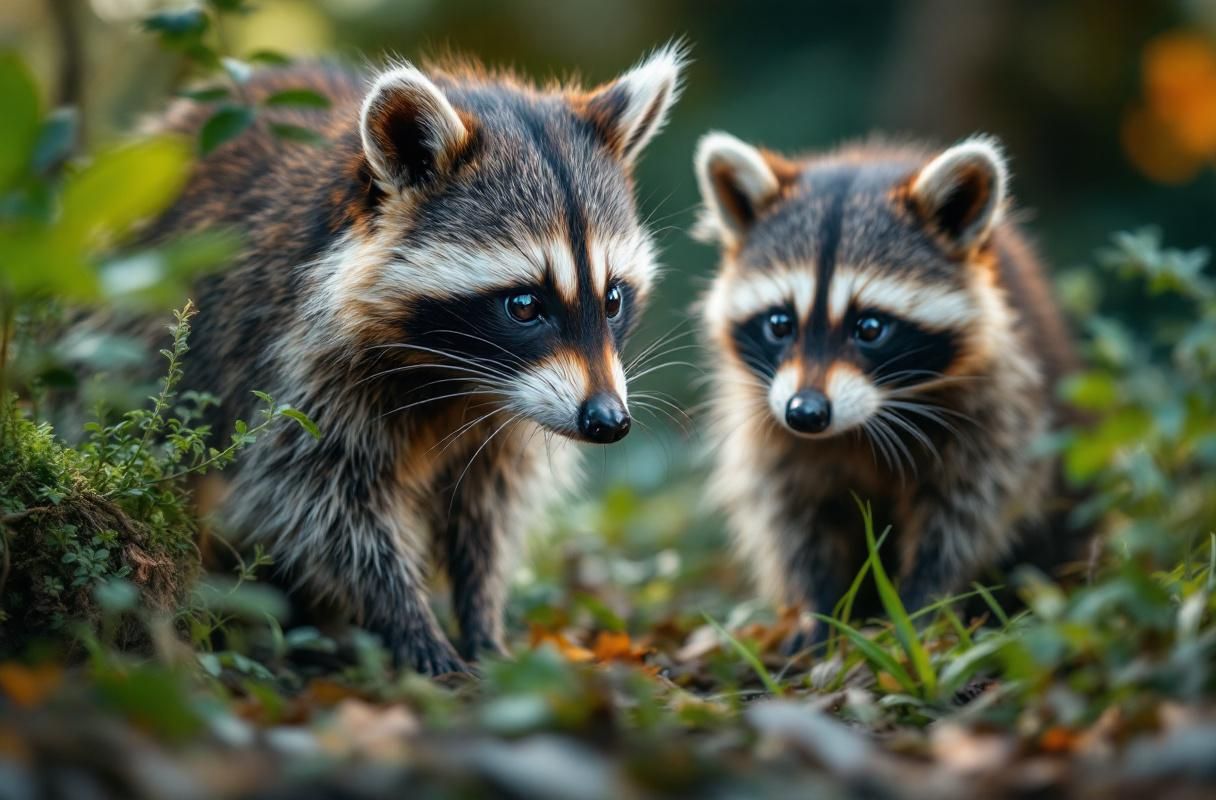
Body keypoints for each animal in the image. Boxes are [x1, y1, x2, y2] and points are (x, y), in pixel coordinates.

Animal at [132, 48, 685, 674]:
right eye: (524, 305)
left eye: (613, 298)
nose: (608, 421)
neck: (458, 377)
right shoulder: (289, 356)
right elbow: (318, 501)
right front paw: (409, 621)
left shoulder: (513, 416)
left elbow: (488, 513)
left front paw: (482, 613)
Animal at [693, 132, 1085, 647]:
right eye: (779, 323)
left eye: (870, 328)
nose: (806, 413)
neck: (861, 424)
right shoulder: (765, 416)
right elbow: (793, 515)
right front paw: (815, 608)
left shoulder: (1000, 398)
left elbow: (968, 511)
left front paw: (924, 604)